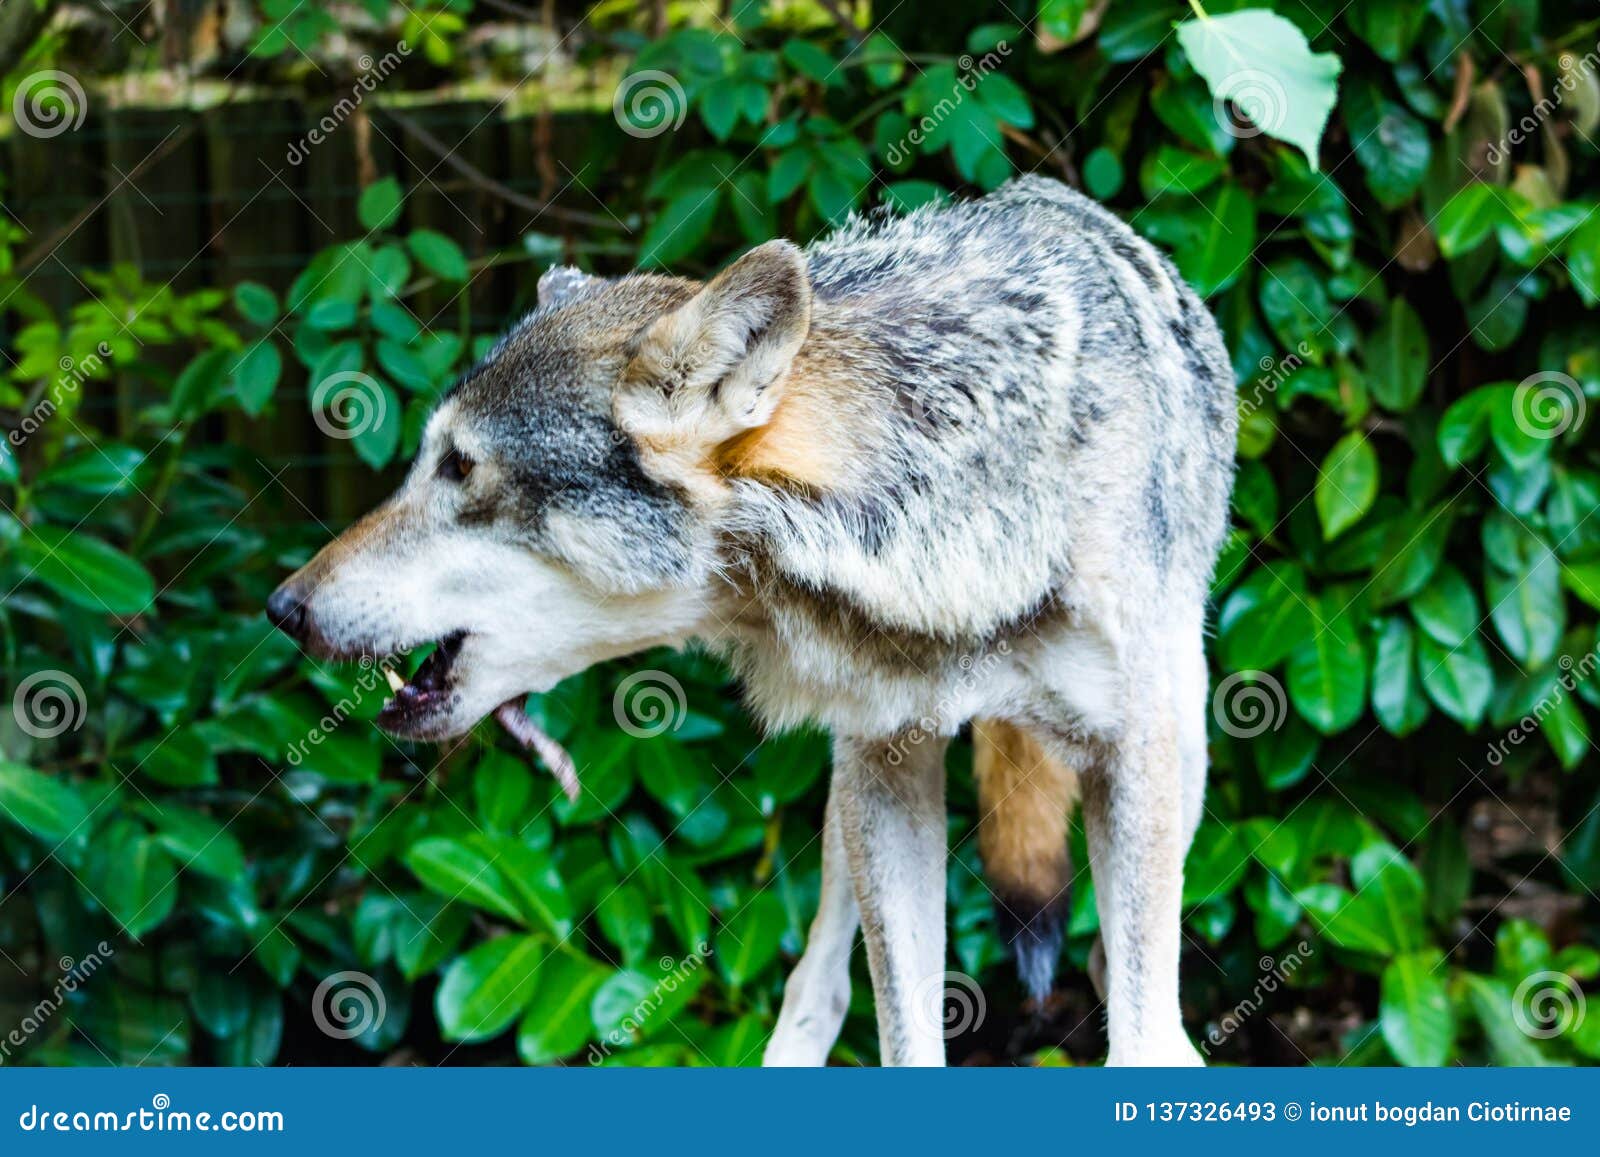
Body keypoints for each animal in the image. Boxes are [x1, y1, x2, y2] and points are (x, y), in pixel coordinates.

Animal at [267, 175, 1237, 1066]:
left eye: (461, 469)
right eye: (426, 464)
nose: (282, 608)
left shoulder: (1133, 758)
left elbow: (1141, 1031)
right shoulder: (885, 762)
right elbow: (906, 1036)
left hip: (1182, 753)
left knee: (1132, 972)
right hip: (855, 790)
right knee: (820, 980)